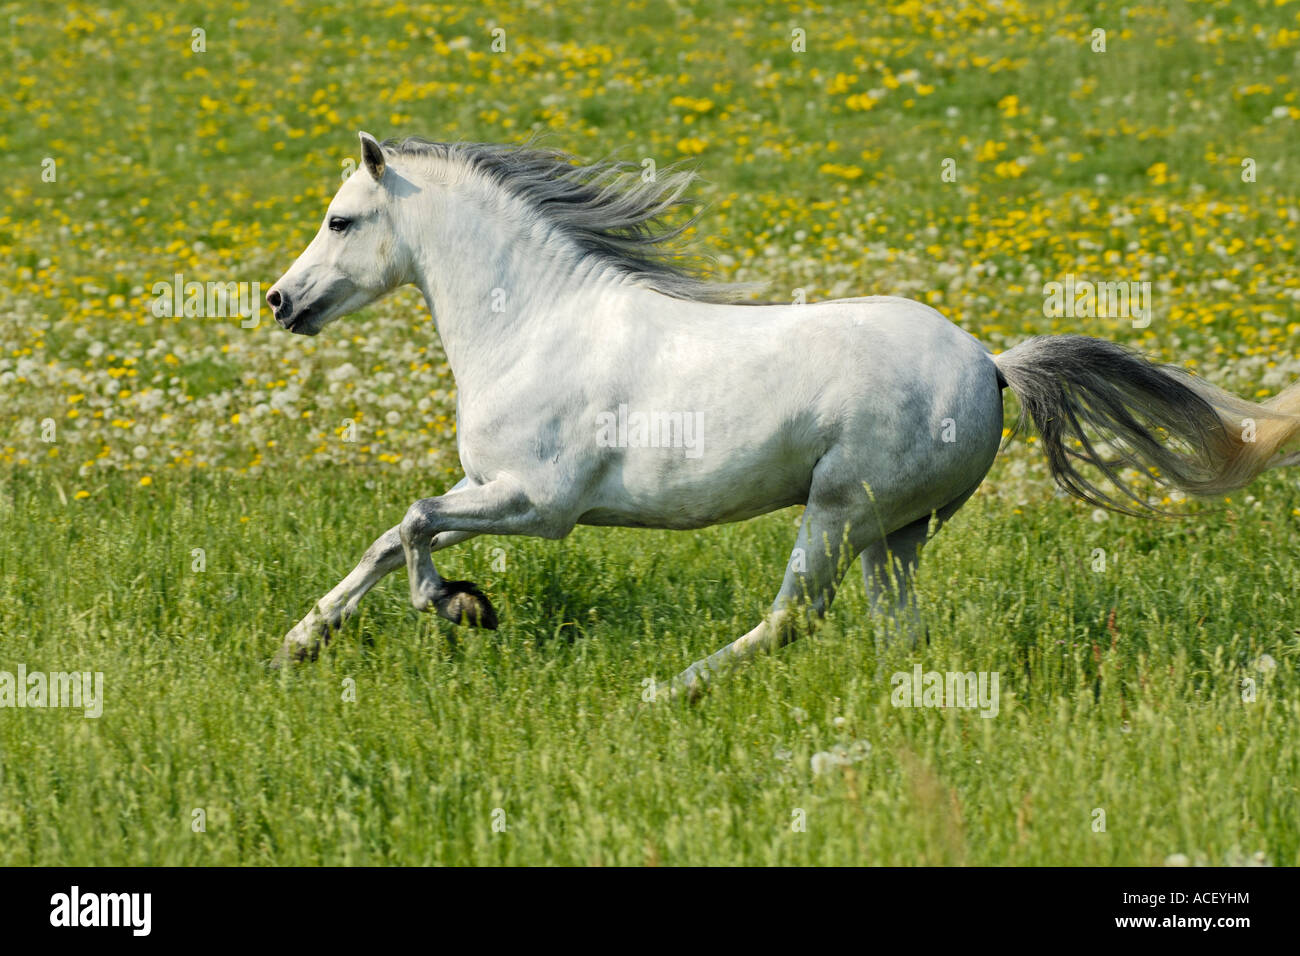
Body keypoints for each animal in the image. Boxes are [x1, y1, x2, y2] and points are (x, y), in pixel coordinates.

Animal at [266, 131, 1300, 699]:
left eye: (340, 220)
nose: (280, 302)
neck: (533, 323)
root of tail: (991, 366)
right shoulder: (490, 486)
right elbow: (386, 536)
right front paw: (302, 642)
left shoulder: (537, 503)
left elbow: (411, 526)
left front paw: (463, 607)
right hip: (896, 532)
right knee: (896, 632)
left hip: (837, 511)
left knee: (794, 615)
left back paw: (665, 694)